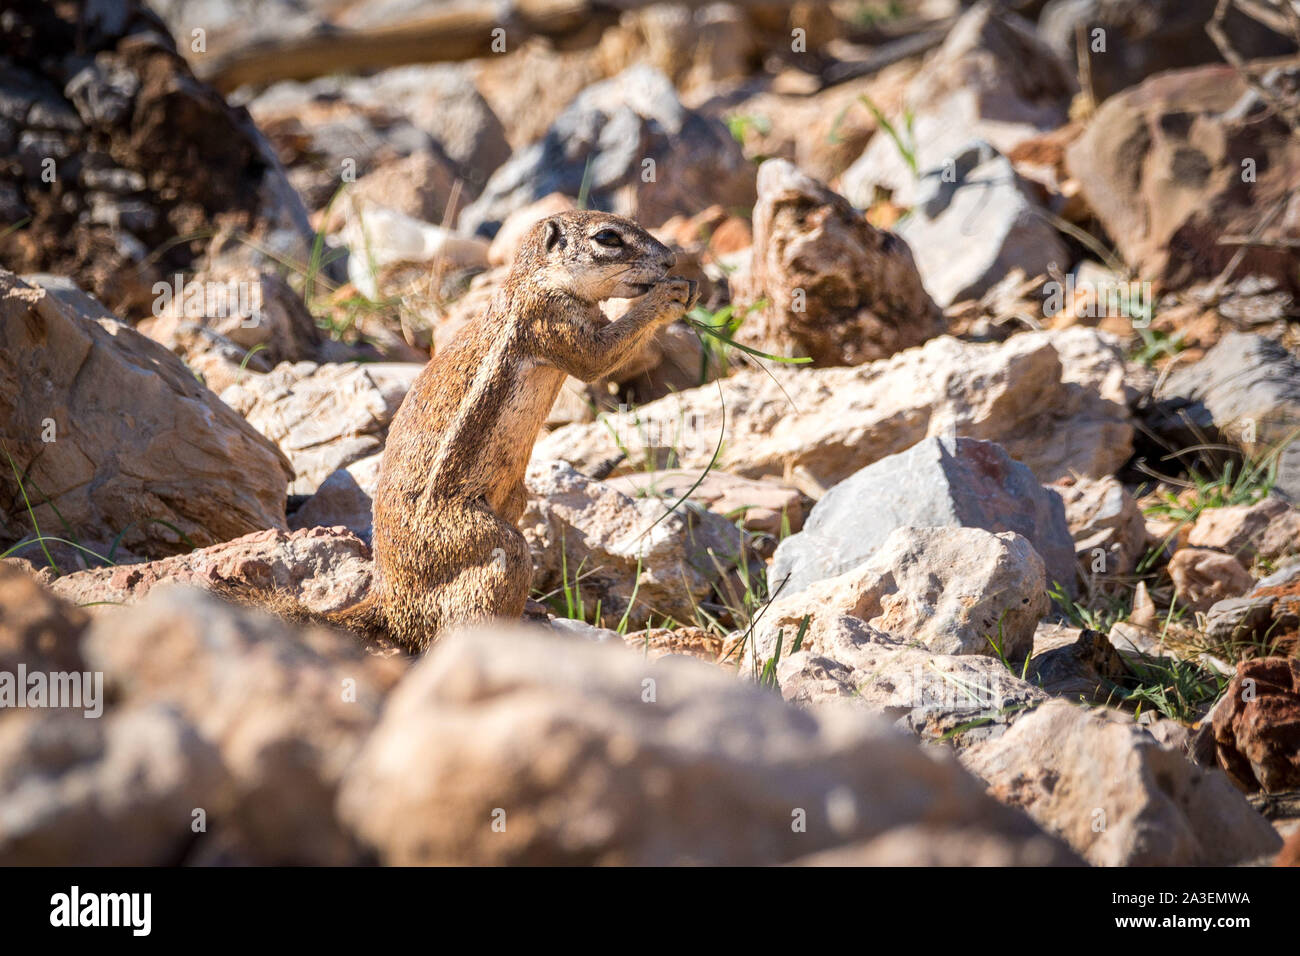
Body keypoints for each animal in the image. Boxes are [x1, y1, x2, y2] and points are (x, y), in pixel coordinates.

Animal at [258, 211, 698, 652]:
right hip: (488, 542)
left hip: (514, 500)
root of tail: (389, 601)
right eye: (608, 238)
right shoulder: (551, 320)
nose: (672, 260)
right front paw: (669, 296)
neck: (536, 281)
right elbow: (598, 358)